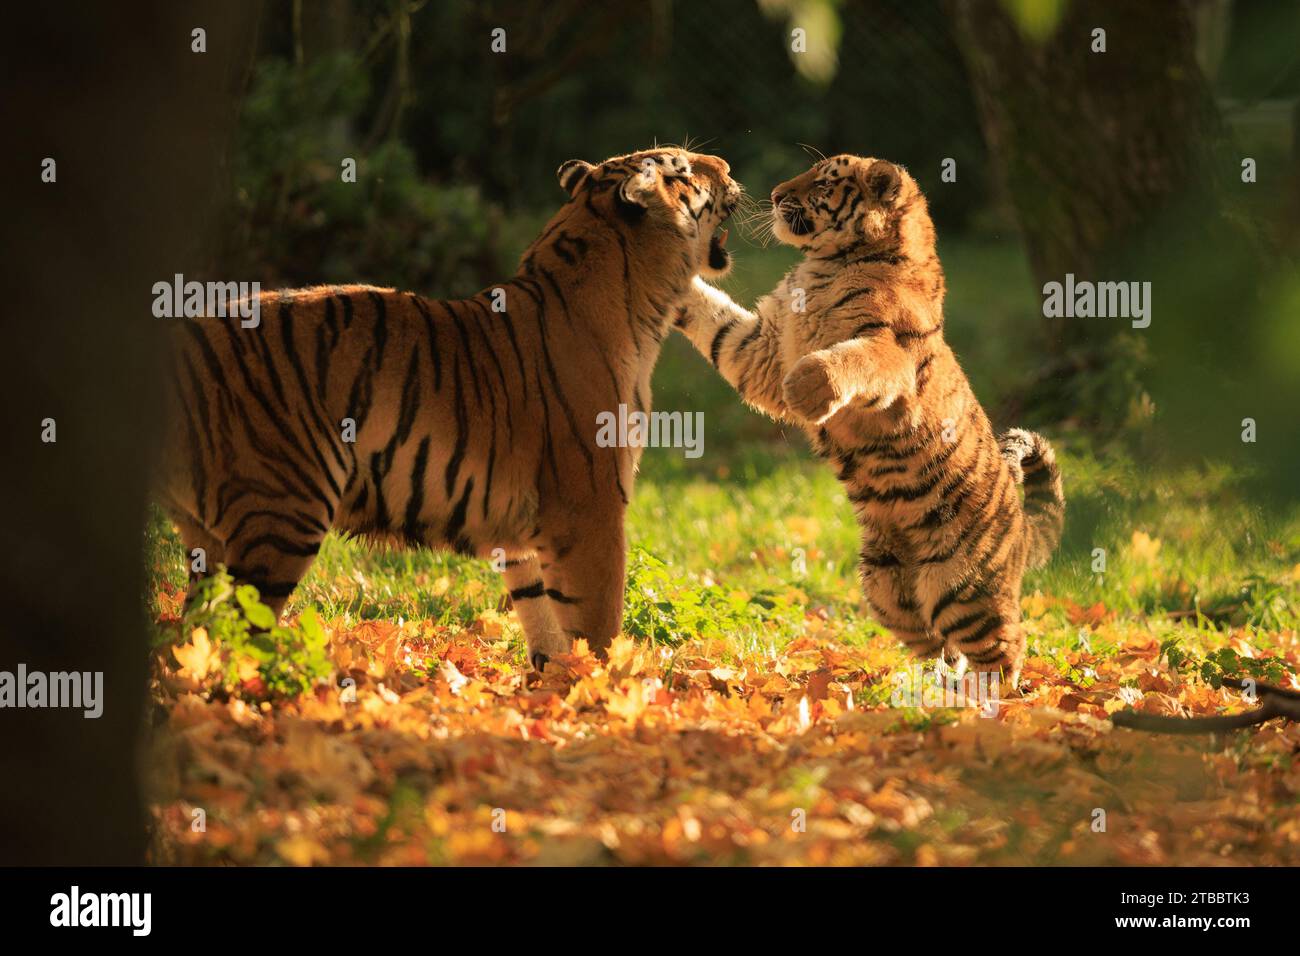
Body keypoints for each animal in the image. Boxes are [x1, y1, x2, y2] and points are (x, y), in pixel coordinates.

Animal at [160, 147, 741, 671]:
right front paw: (605, 694)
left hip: (210, 538)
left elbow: (546, 626)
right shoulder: (589, 510)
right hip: (282, 510)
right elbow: (597, 628)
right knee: (234, 635)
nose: (728, 166)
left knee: (189, 638)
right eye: (683, 168)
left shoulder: (529, 534)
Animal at [673, 154, 1064, 687]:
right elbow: (717, 321)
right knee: (939, 645)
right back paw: (927, 687)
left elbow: (851, 360)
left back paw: (990, 698)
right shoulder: (762, 351)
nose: (774, 194)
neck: (825, 265)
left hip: (961, 588)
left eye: (821, 183)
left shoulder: (886, 353)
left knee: (1005, 648)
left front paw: (808, 389)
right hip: (886, 587)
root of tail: (1021, 525)